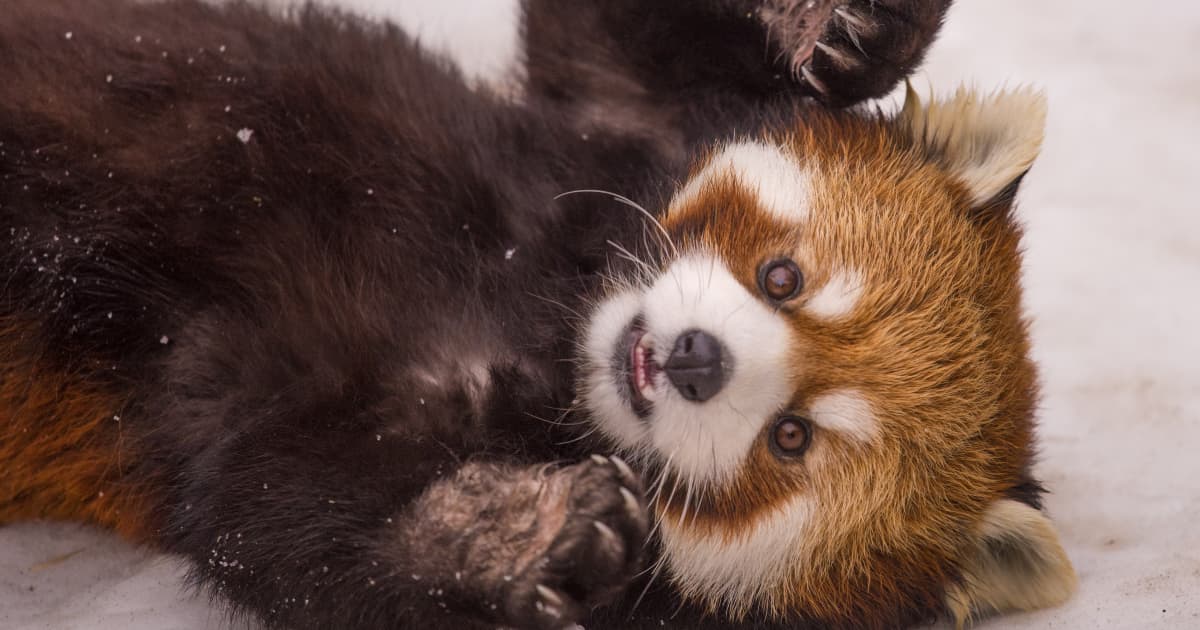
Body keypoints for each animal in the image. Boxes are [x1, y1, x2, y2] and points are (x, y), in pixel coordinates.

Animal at [0, 1, 1073, 629]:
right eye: (782, 277)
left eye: (793, 438)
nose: (694, 359)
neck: (556, 326)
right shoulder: (600, 121)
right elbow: (614, 37)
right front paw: (848, 27)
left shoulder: (263, 417)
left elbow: (279, 521)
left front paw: (523, 536)